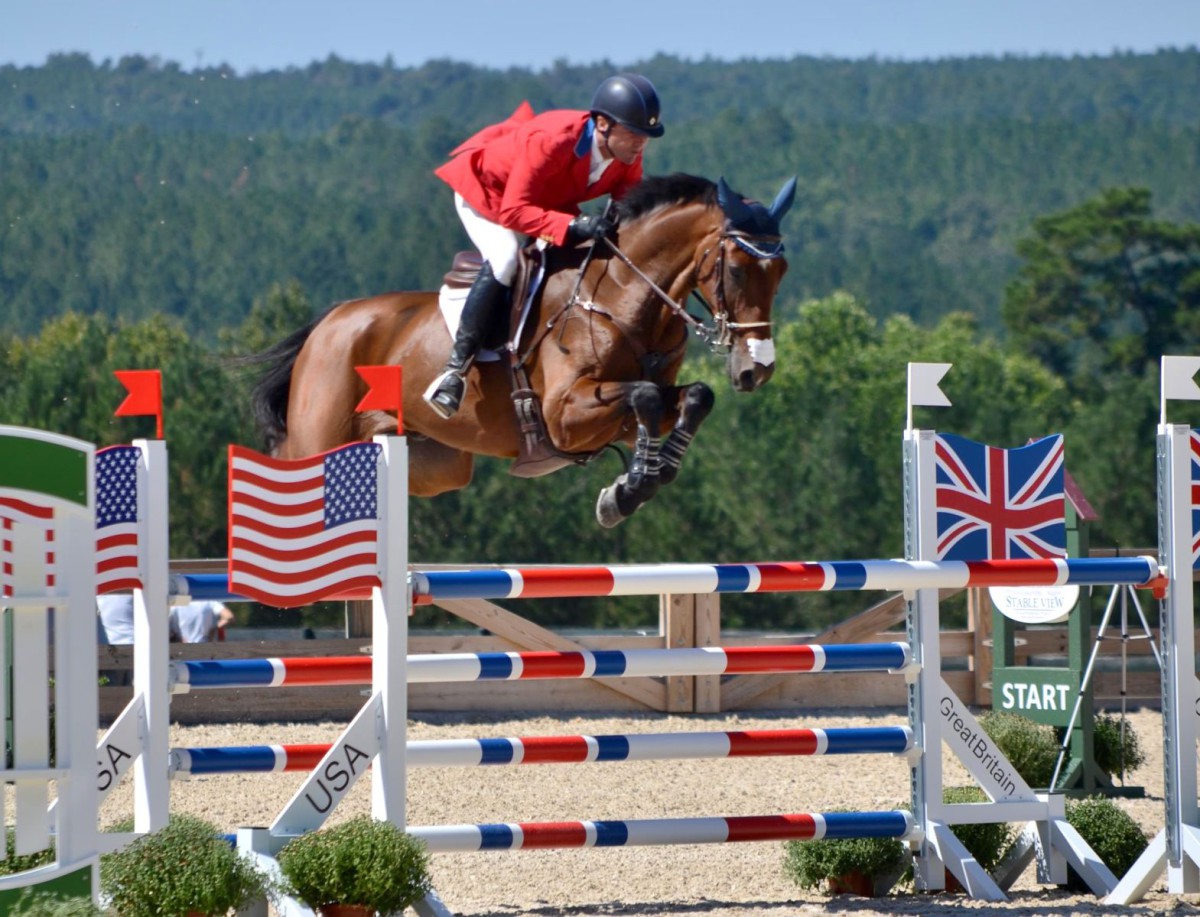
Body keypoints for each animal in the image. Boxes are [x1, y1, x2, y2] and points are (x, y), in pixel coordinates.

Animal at [248, 173, 795, 527]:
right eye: (738, 268)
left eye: (782, 271)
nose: (758, 368)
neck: (622, 292)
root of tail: (331, 321)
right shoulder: (563, 414)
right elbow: (643, 395)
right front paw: (632, 488)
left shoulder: (627, 409)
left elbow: (693, 397)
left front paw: (636, 485)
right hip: (320, 436)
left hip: (436, 464)